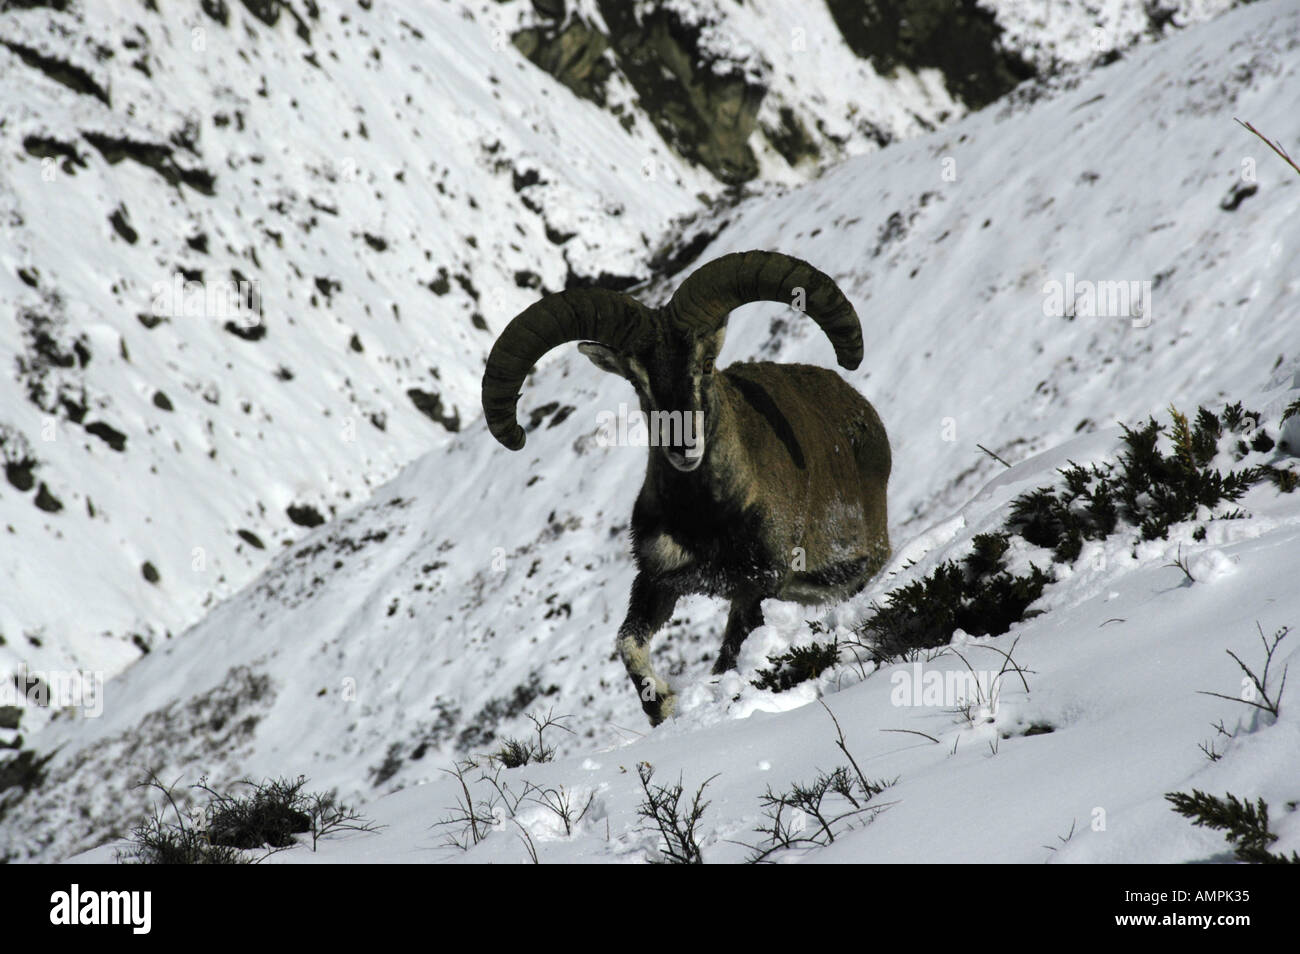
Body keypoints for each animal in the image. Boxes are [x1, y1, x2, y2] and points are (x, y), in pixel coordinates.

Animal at [481, 250, 891, 724]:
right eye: (638, 382)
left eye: (706, 365)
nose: (683, 446)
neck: (704, 517)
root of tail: (864, 414)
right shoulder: (659, 578)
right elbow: (628, 642)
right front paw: (663, 703)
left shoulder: (760, 581)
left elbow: (729, 656)